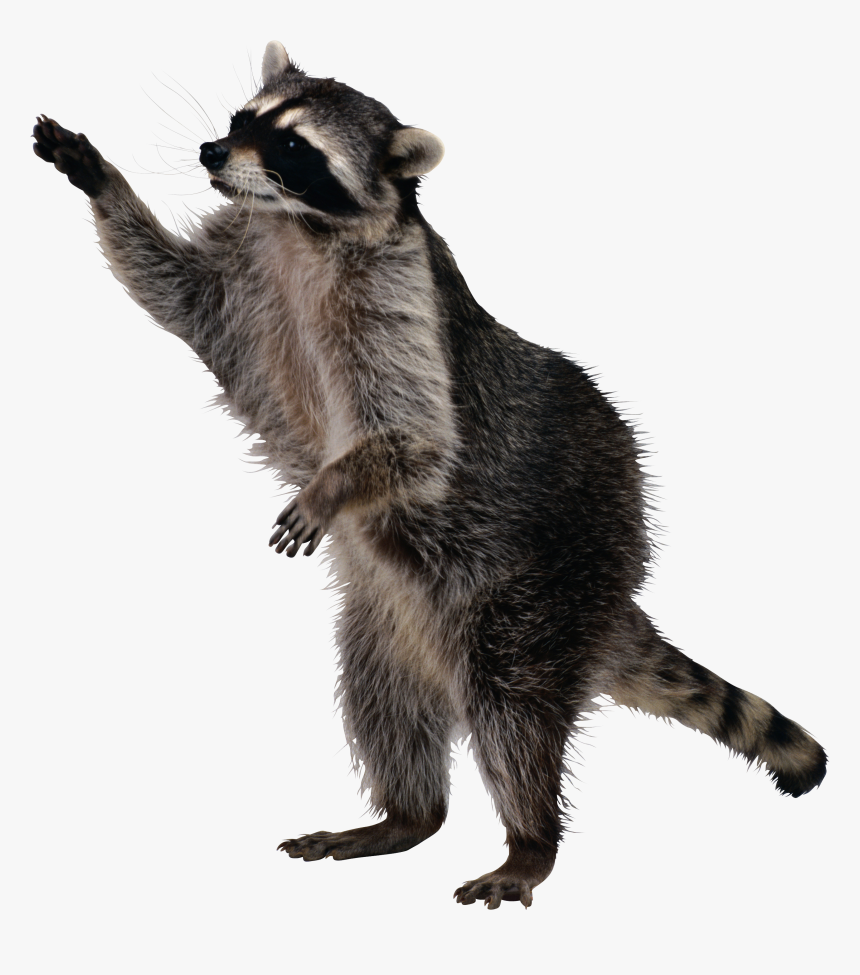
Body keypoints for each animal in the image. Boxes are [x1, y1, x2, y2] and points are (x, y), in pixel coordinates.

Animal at [32, 40, 826, 909]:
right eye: (245, 119)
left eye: (293, 147)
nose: (211, 151)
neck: (296, 228)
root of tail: (612, 600)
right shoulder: (240, 272)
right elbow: (167, 286)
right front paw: (100, 178)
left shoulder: (397, 298)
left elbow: (418, 435)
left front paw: (334, 484)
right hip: (390, 615)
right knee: (384, 696)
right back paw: (406, 815)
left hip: (544, 580)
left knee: (514, 706)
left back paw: (530, 839)